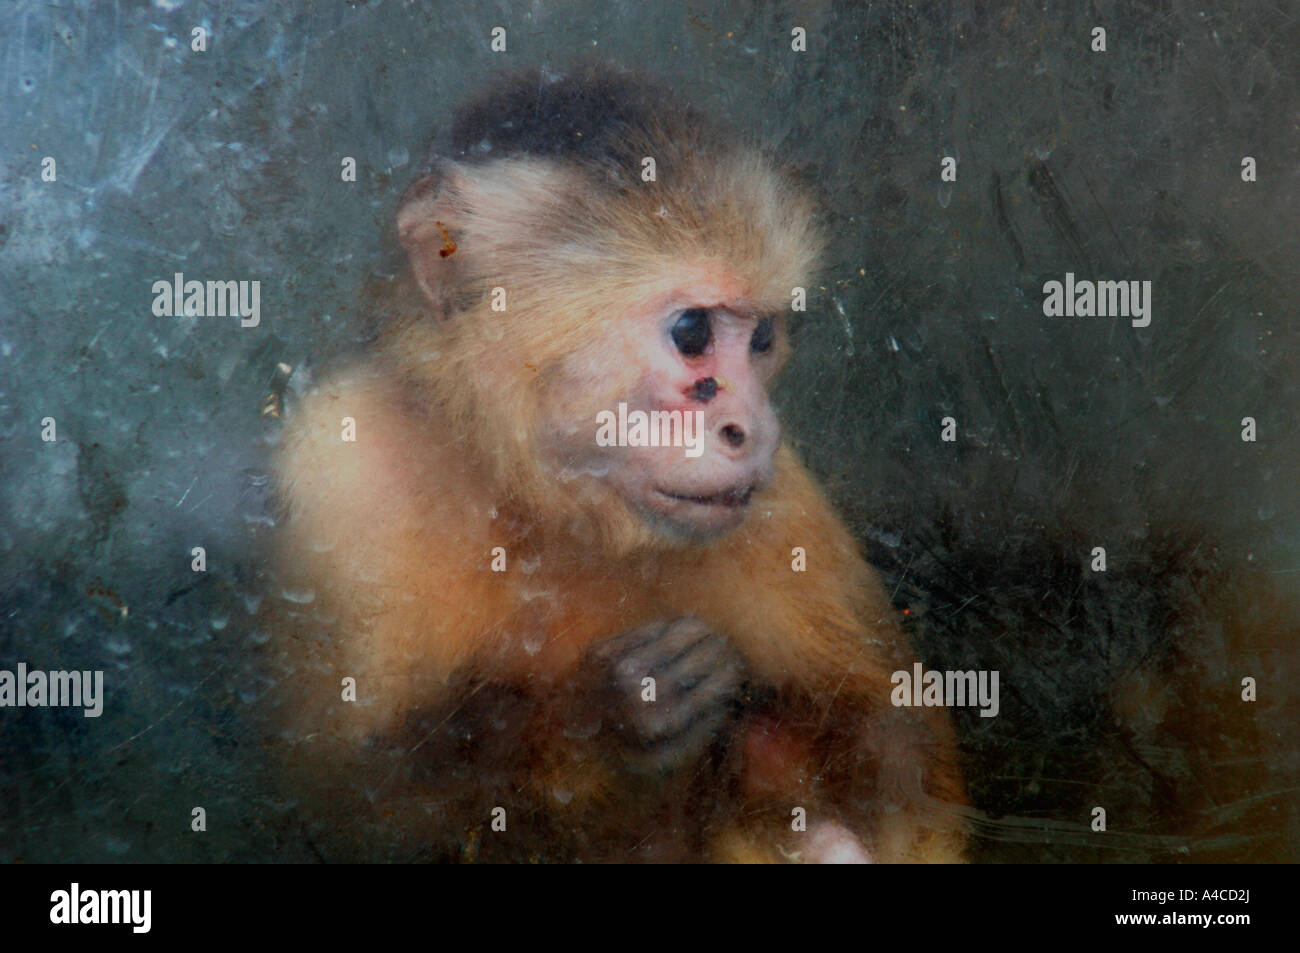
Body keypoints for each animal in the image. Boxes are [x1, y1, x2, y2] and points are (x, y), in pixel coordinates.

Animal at [273, 64, 965, 863]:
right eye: (692, 332)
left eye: (762, 338)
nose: (752, 427)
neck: (542, 508)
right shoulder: (336, 467)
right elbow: (337, 800)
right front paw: (607, 719)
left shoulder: (779, 496)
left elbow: (905, 745)